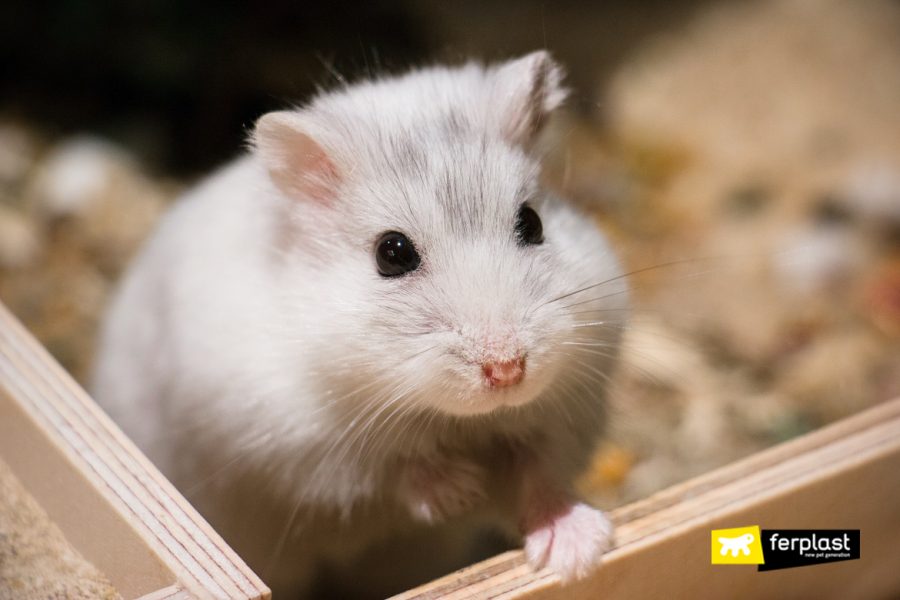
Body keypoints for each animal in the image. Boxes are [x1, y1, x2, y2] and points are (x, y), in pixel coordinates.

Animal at [92, 51, 629, 597]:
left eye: (533, 223)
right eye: (392, 253)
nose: (507, 371)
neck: (457, 419)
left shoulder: (559, 416)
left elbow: (538, 476)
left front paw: (577, 555)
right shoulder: (302, 447)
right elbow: (392, 467)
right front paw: (458, 490)